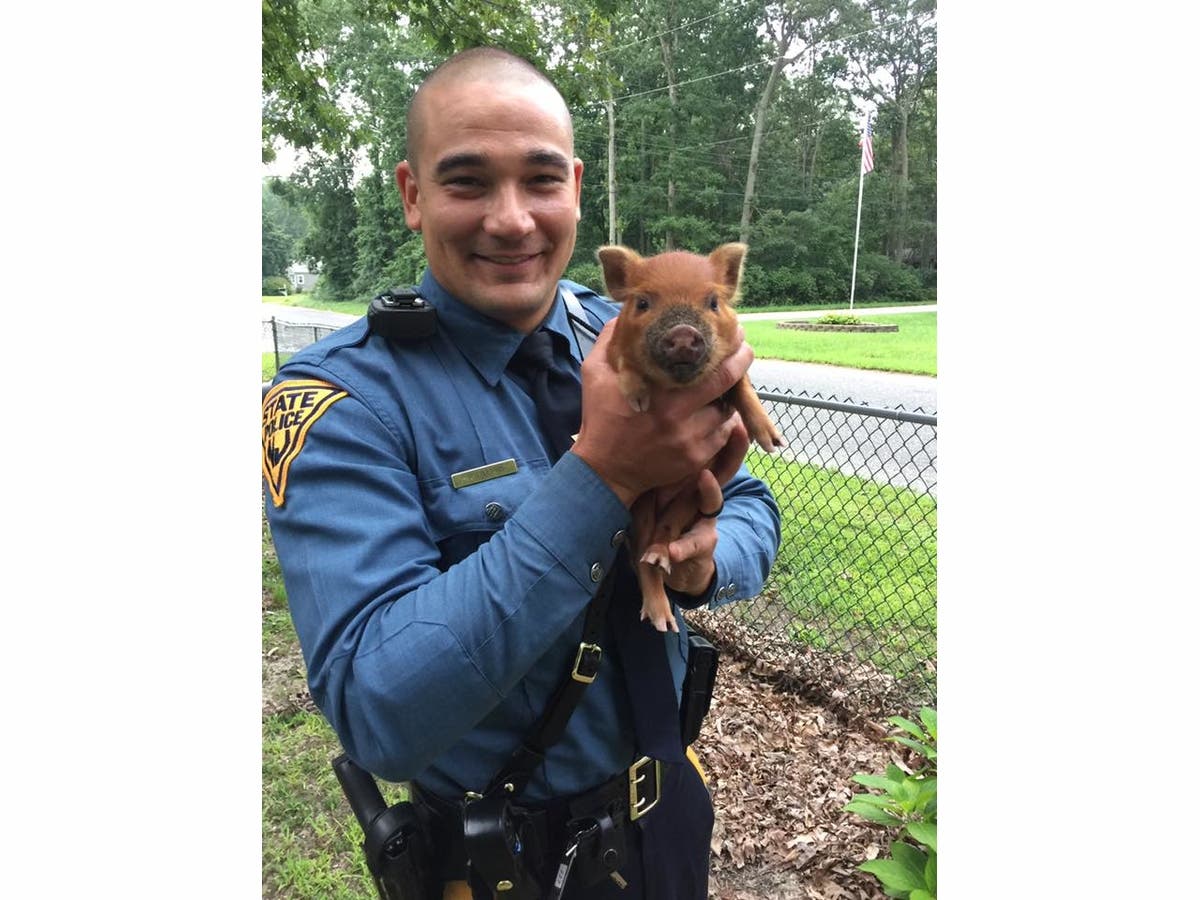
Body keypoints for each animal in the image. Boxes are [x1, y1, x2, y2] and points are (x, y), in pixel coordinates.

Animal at [596, 242, 784, 632]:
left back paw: (662, 560)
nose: (683, 333)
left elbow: (743, 387)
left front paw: (774, 443)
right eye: (642, 303)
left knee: (665, 535)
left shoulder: (734, 364)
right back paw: (660, 617)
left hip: (696, 488)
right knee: (641, 558)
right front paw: (638, 402)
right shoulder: (613, 347)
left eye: (712, 302)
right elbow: (626, 364)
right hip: (642, 503)